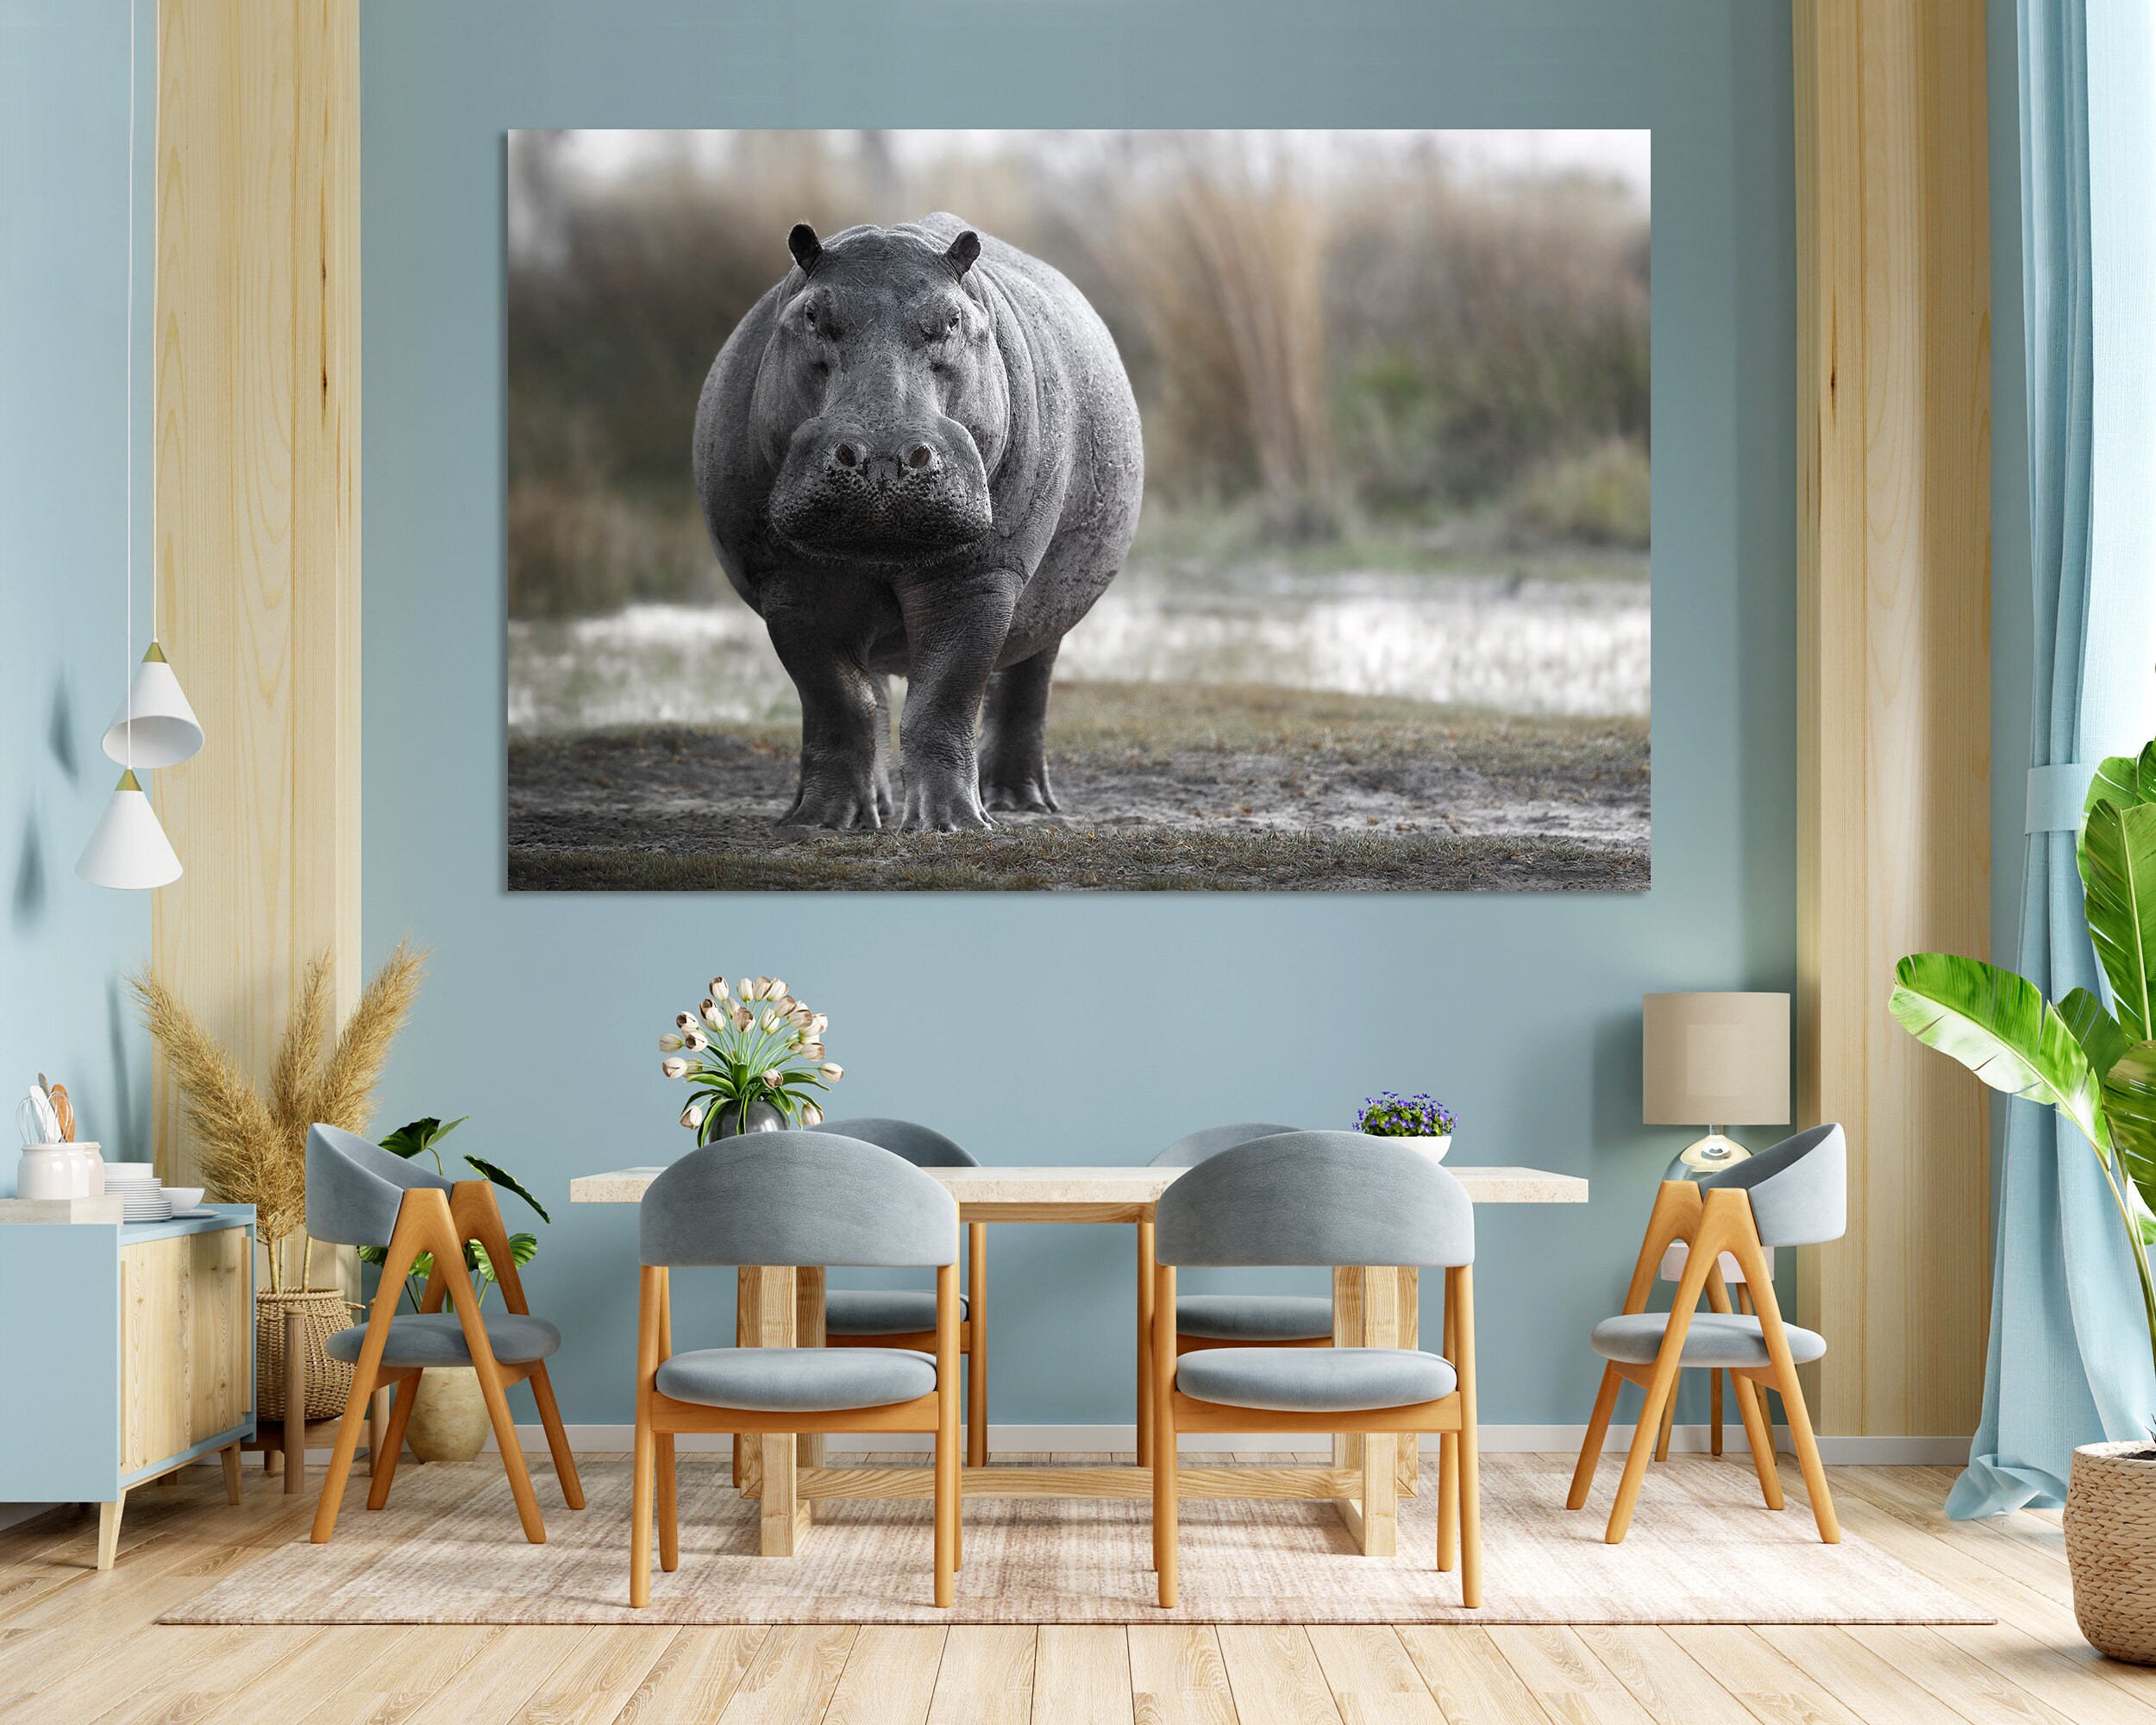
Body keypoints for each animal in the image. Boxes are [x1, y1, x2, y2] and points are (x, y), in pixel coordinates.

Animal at [693, 215, 1143, 831]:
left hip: (1052, 604)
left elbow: (945, 697)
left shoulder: (980, 577)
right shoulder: (788, 582)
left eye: (952, 319)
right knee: (873, 691)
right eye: (812, 316)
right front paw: (821, 823)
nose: (883, 455)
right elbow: (836, 700)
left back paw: (1018, 802)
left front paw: (953, 825)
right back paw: (869, 811)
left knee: (1029, 681)